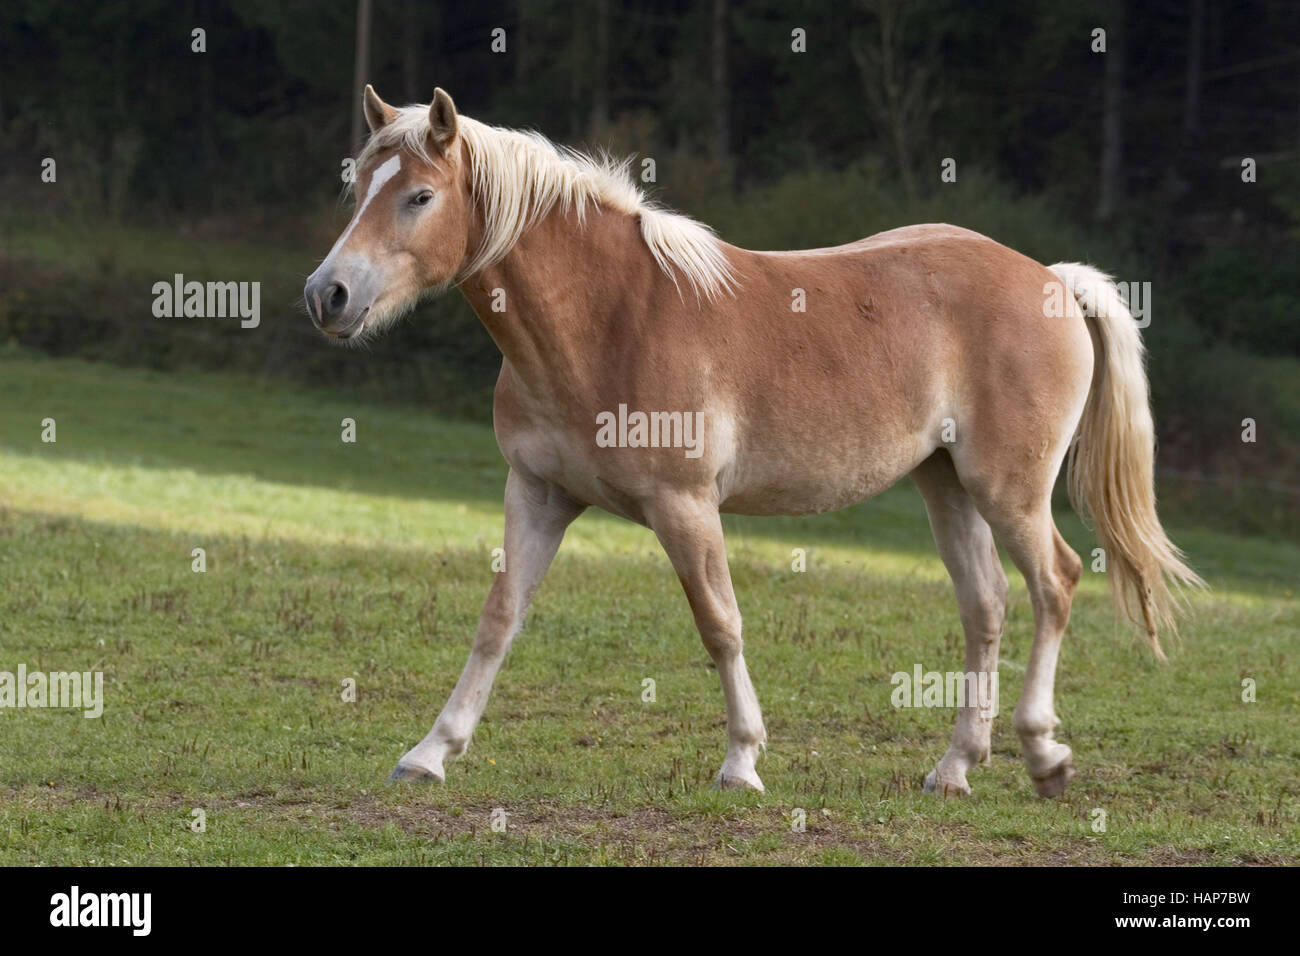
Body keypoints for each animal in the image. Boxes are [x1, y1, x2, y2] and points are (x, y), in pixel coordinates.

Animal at [304, 86, 1201, 797]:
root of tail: (1053, 280)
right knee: (986, 606)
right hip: (946, 484)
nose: (328, 294)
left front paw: (741, 762)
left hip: (1007, 490)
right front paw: (430, 752)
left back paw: (1044, 755)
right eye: (359, 185)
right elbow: (499, 618)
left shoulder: (685, 506)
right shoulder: (538, 494)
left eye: (420, 196)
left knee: (1056, 582)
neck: (610, 318)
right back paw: (955, 768)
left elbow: (719, 623)